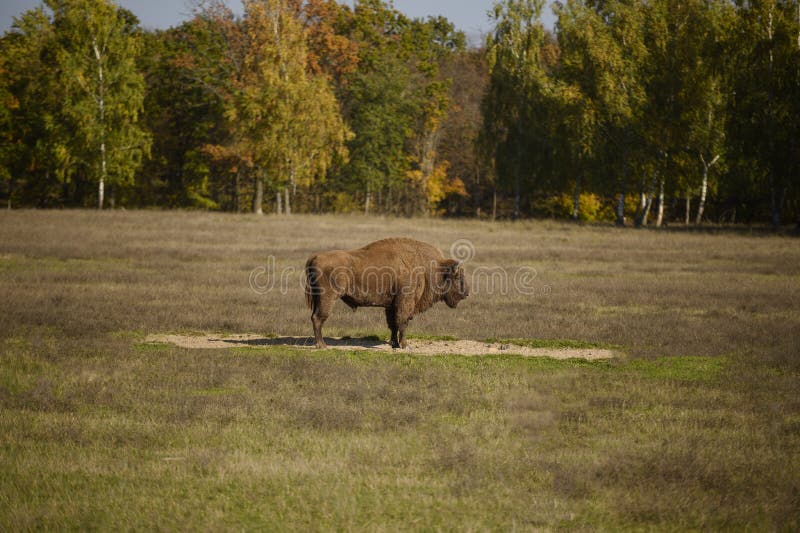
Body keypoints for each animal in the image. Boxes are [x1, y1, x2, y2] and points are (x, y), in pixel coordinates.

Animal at [304, 238, 469, 349]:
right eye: (458, 277)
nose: (466, 293)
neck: (427, 268)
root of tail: (315, 257)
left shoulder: (391, 305)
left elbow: (393, 324)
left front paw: (394, 344)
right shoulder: (404, 302)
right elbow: (402, 322)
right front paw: (404, 345)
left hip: (318, 299)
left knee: (314, 317)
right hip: (327, 298)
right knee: (318, 318)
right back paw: (322, 345)